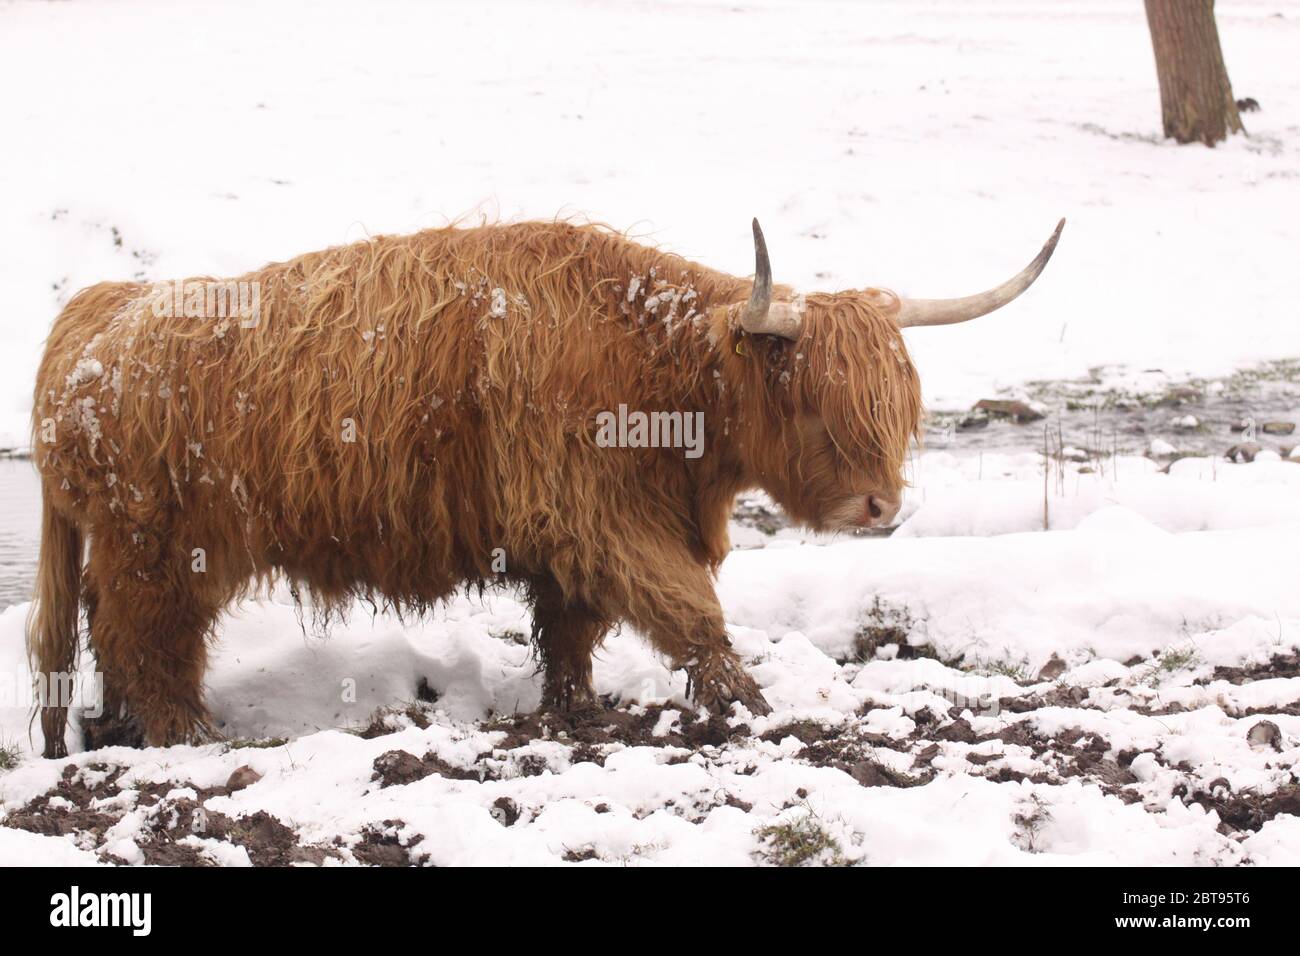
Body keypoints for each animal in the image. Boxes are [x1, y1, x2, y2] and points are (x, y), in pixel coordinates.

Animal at [28, 216, 1063, 758]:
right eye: (813, 400)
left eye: (896, 402)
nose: (881, 507)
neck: (657, 369)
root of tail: (99, 319)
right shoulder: (597, 515)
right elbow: (689, 611)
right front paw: (753, 704)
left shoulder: (577, 532)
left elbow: (571, 631)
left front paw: (576, 710)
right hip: (159, 544)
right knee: (145, 637)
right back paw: (188, 735)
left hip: (129, 545)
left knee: (107, 631)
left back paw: (118, 728)